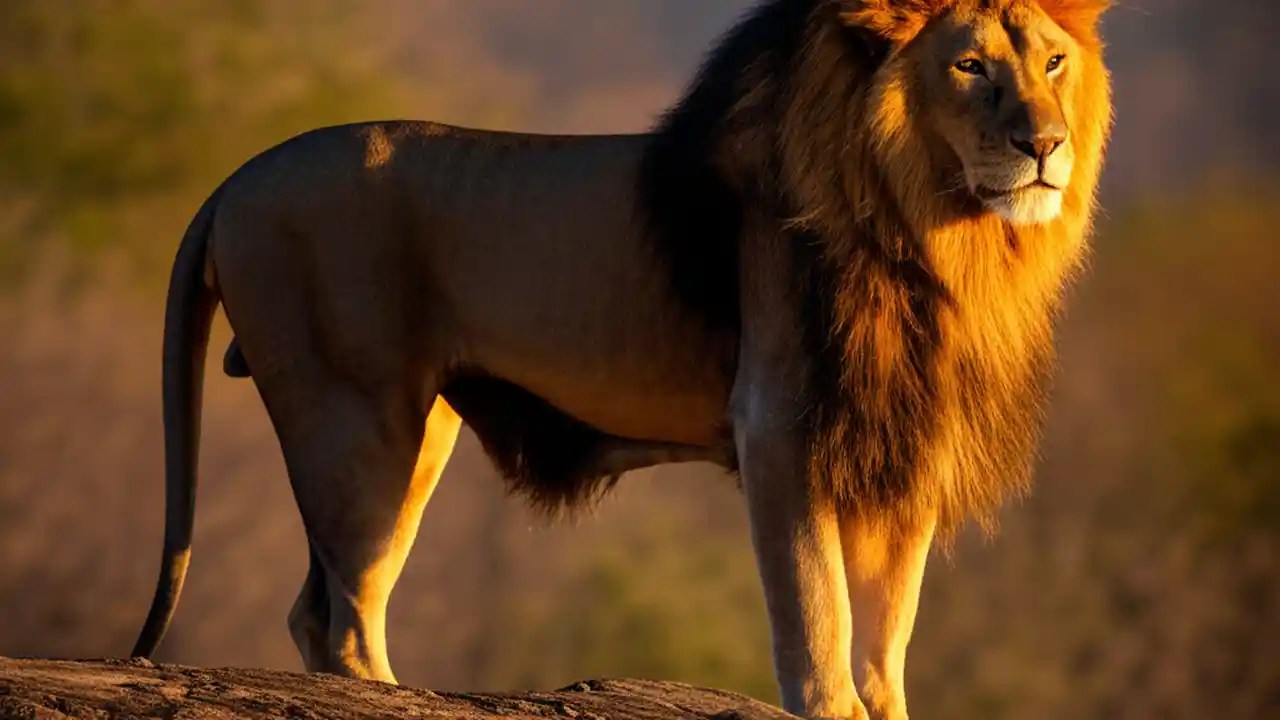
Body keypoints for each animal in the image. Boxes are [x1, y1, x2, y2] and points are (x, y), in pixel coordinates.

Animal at [131, 1, 1113, 718]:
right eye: (970, 67)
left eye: (1052, 65)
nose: (1043, 145)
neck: (938, 233)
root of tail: (236, 178)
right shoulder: (780, 427)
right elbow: (817, 615)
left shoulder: (901, 445)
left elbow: (884, 638)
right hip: (354, 424)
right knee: (346, 617)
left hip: (415, 432)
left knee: (318, 608)